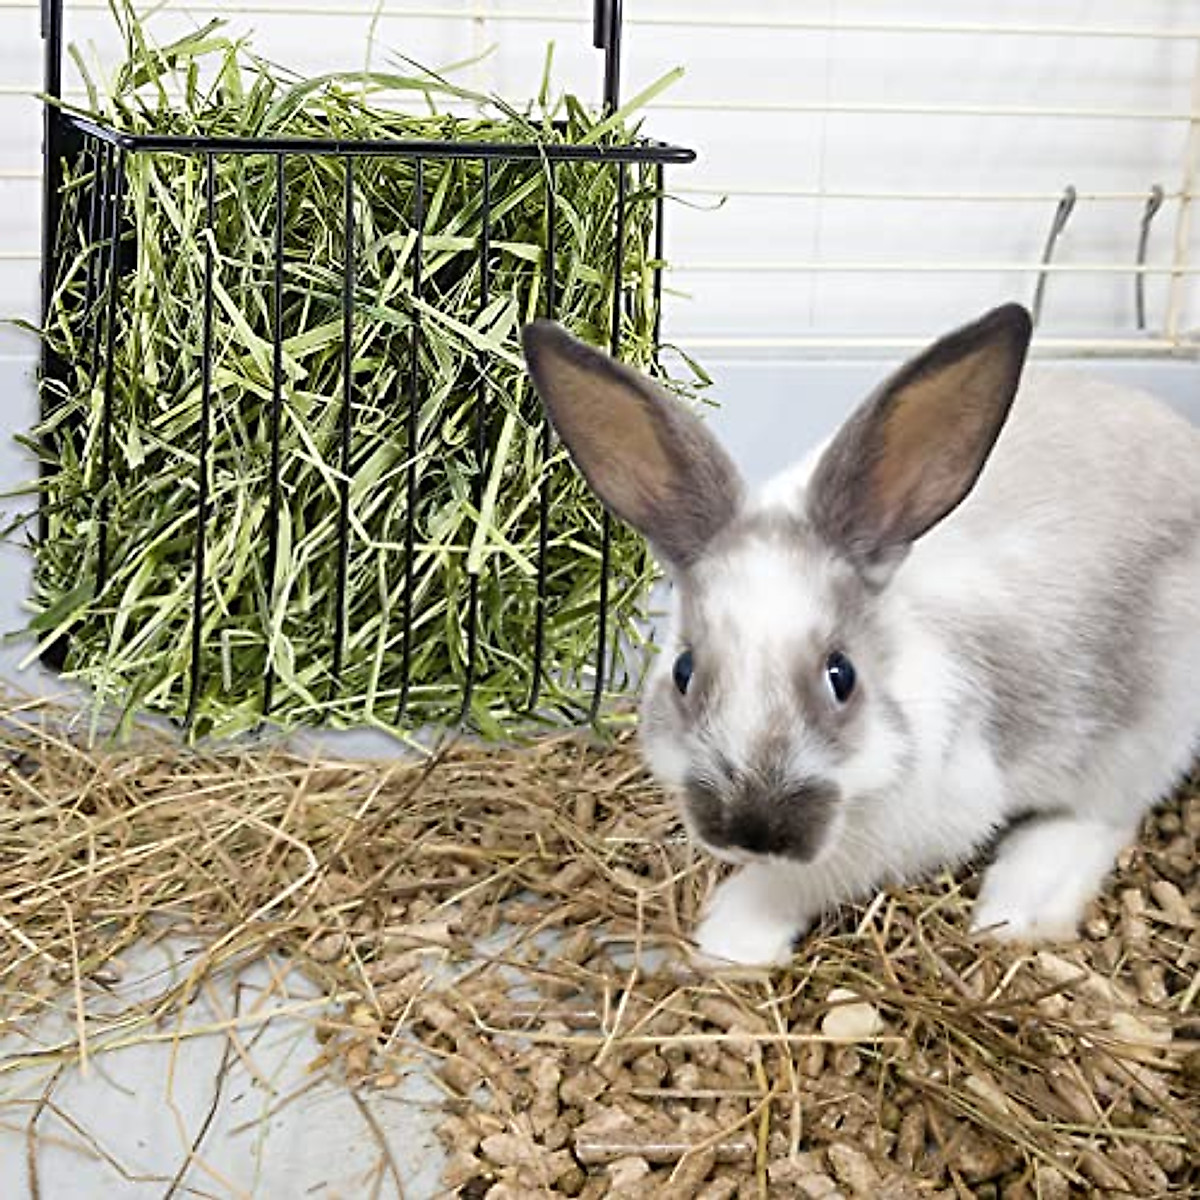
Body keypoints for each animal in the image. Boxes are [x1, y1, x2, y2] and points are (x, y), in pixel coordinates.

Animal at [521, 304, 1200, 967]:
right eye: (684, 672)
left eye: (841, 675)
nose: (752, 829)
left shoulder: (920, 817)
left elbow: (809, 876)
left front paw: (731, 938)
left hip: (1142, 731)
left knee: (1106, 815)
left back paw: (1019, 907)